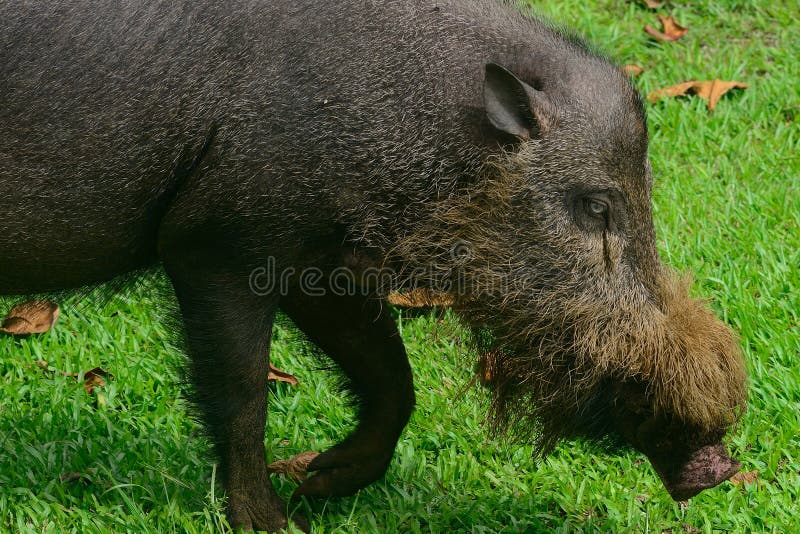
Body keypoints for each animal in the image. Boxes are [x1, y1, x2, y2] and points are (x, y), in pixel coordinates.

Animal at [0, 0, 747, 531]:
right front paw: (274, 522)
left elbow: (393, 377)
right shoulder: (215, 245)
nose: (716, 467)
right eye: (596, 206)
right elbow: (242, 396)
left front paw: (317, 481)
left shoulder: (318, 262)